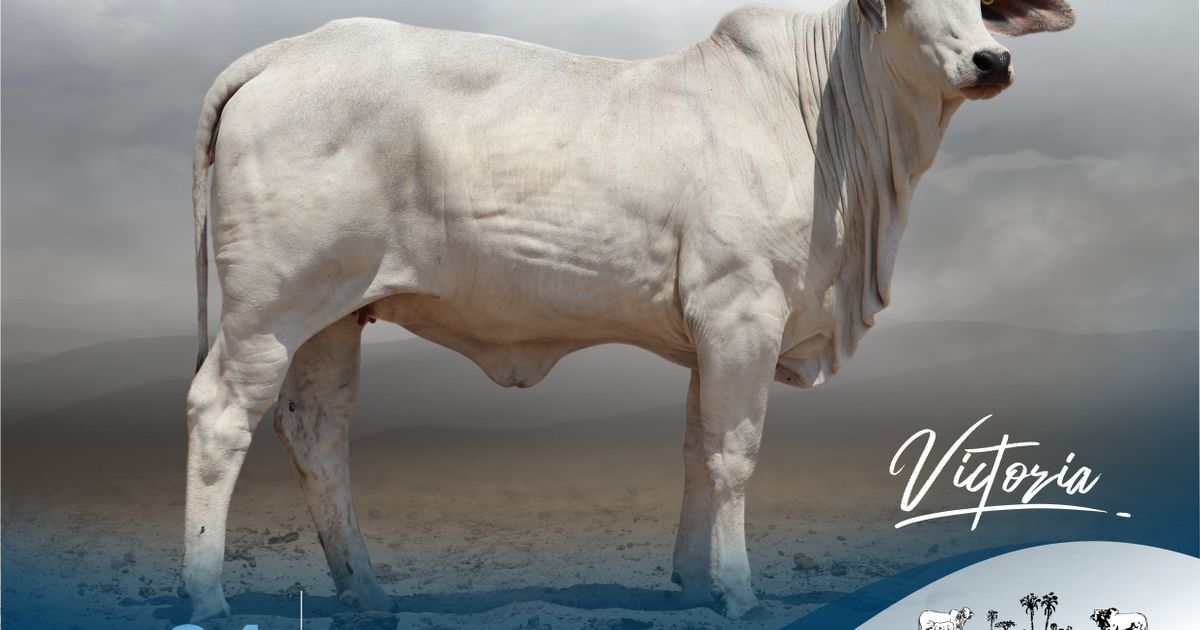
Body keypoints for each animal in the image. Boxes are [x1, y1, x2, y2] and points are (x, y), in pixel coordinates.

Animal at [181, 0, 1076, 621]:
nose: (991, 58)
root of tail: (285, 51)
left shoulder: (713, 334)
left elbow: (695, 452)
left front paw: (691, 582)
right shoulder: (742, 313)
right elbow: (733, 456)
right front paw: (738, 591)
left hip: (334, 314)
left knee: (317, 435)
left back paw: (366, 594)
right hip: (270, 305)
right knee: (220, 414)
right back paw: (206, 598)